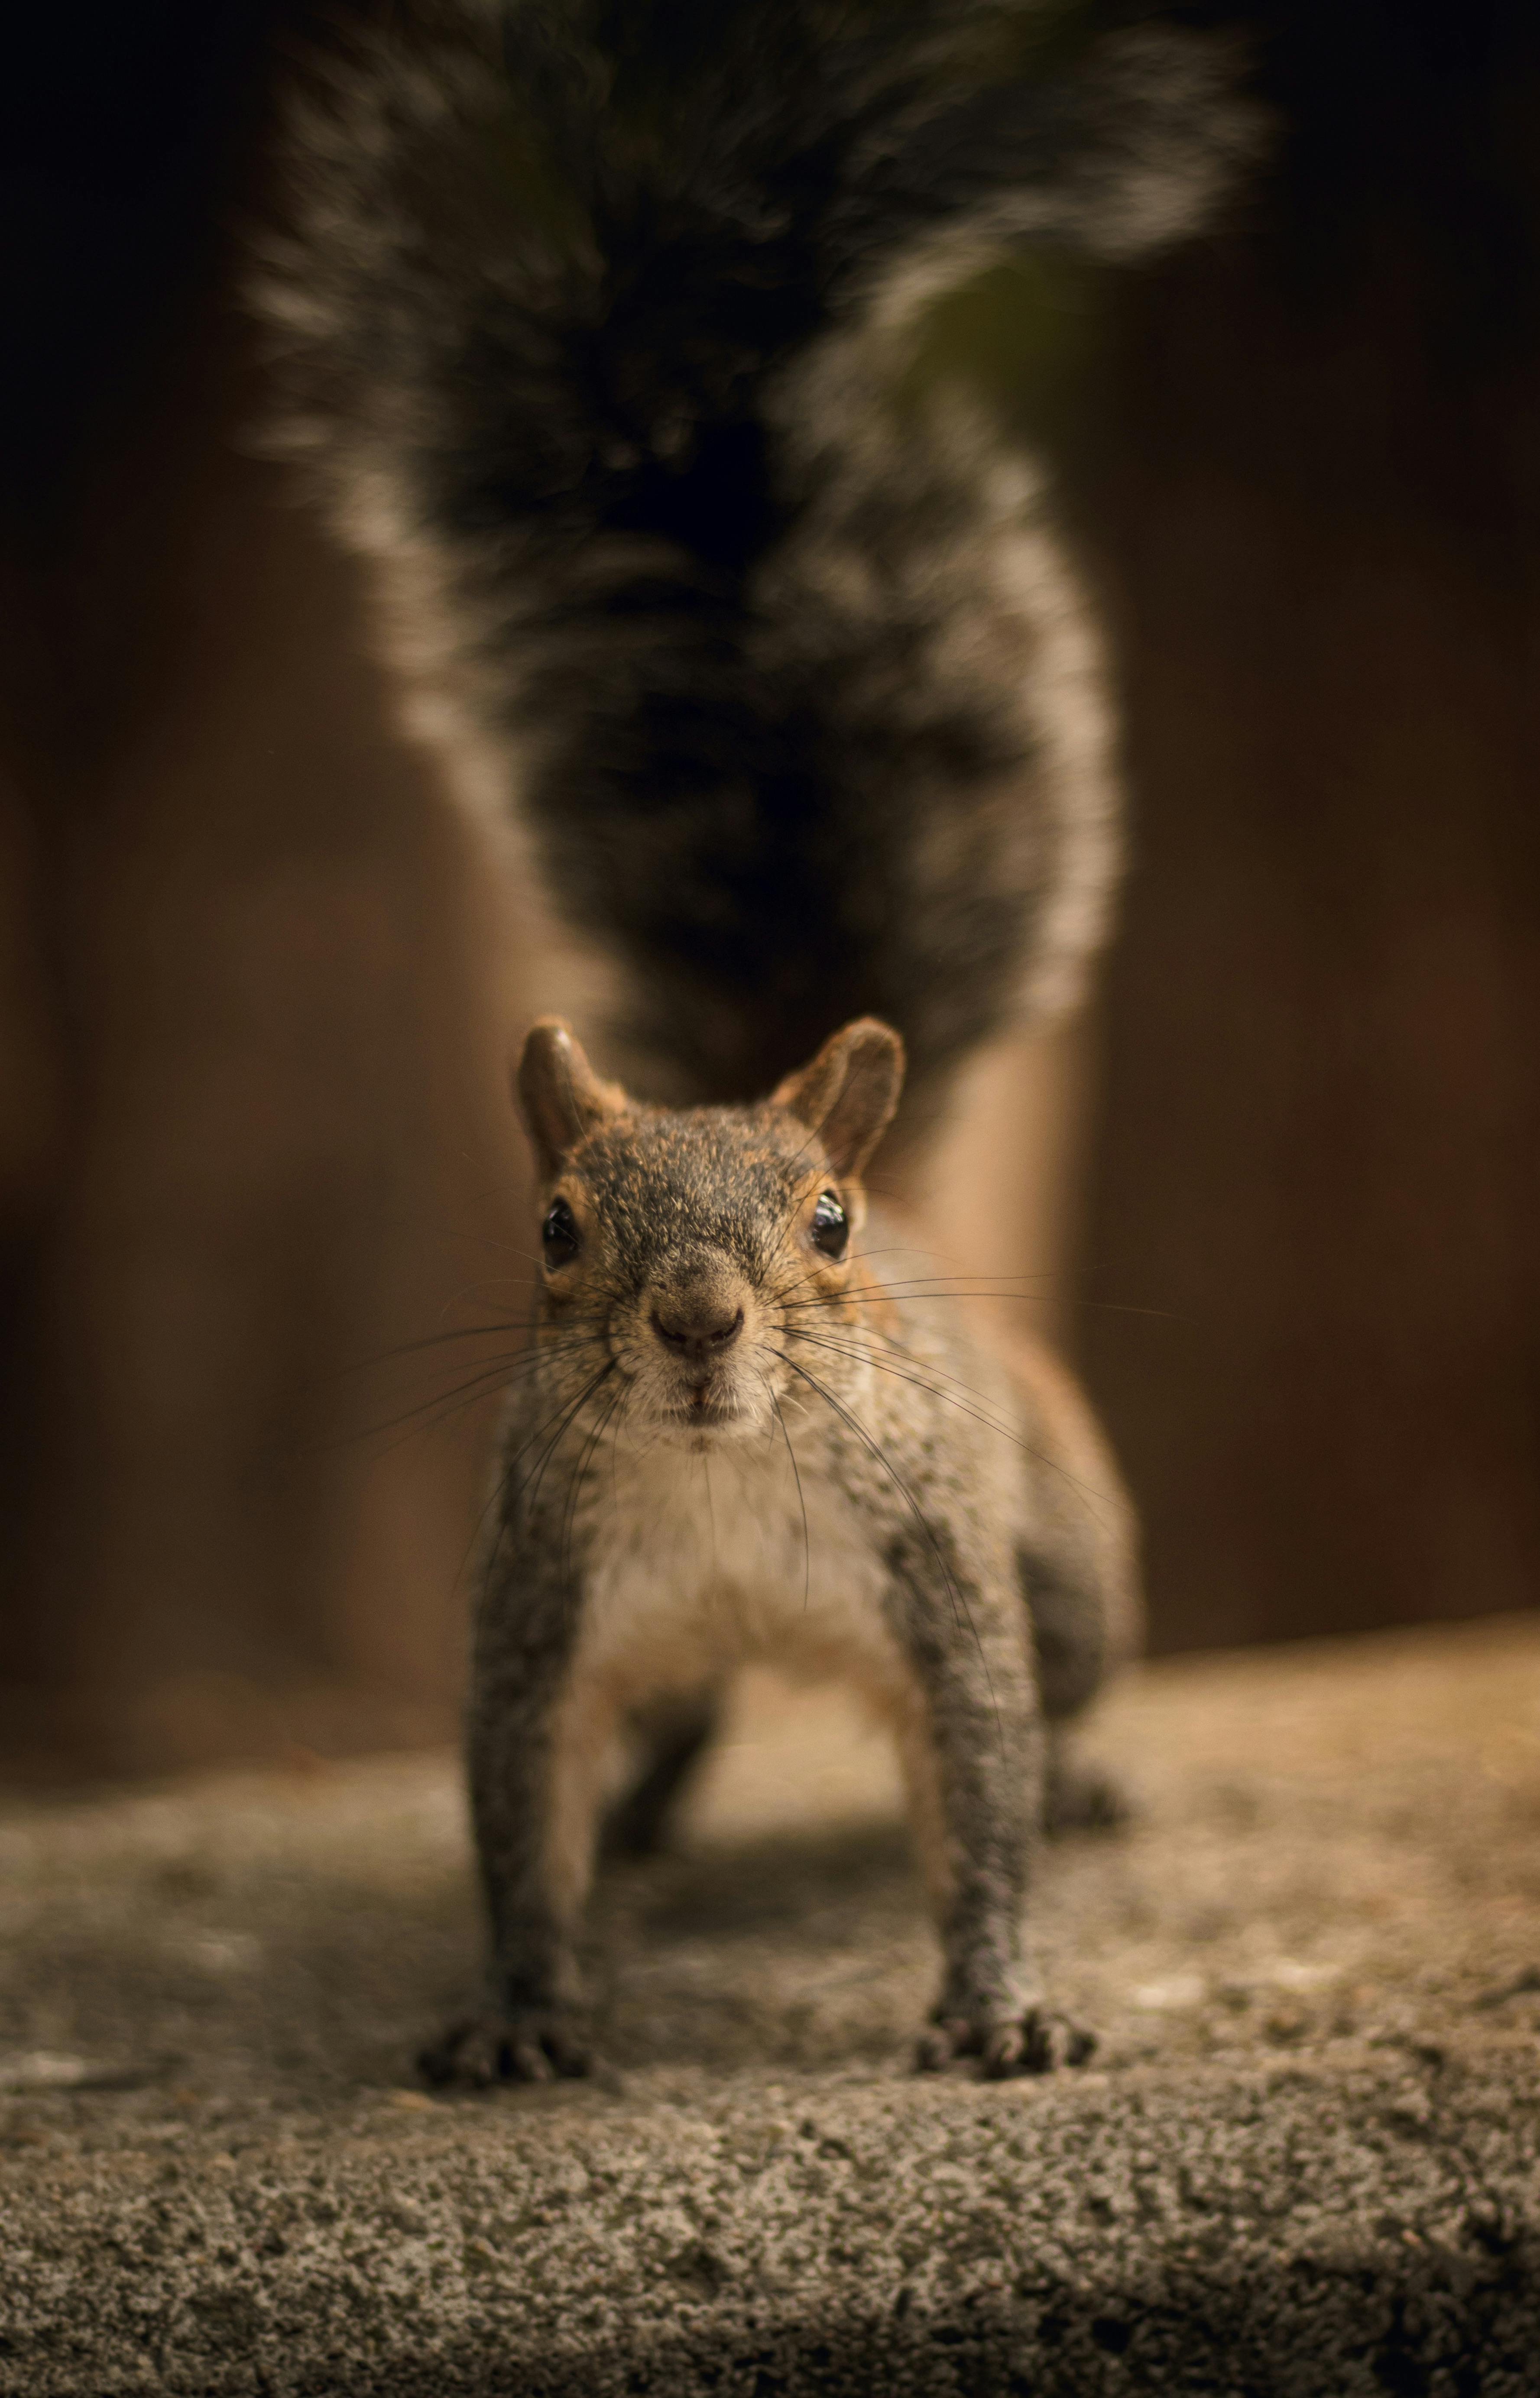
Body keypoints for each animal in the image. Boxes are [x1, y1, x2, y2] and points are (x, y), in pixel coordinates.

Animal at [252, 2, 1251, 2075]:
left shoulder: (949, 1594)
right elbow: (516, 1820)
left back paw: (1097, 1775)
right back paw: (649, 1828)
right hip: (665, 1660)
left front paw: (998, 2001)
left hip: (1067, 1563)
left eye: (826, 1227)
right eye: (553, 1224)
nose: (700, 1322)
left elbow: (985, 1789)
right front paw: (522, 2009)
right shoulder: (536, 1621)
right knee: (675, 1734)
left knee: (1072, 1686)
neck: (721, 1491)